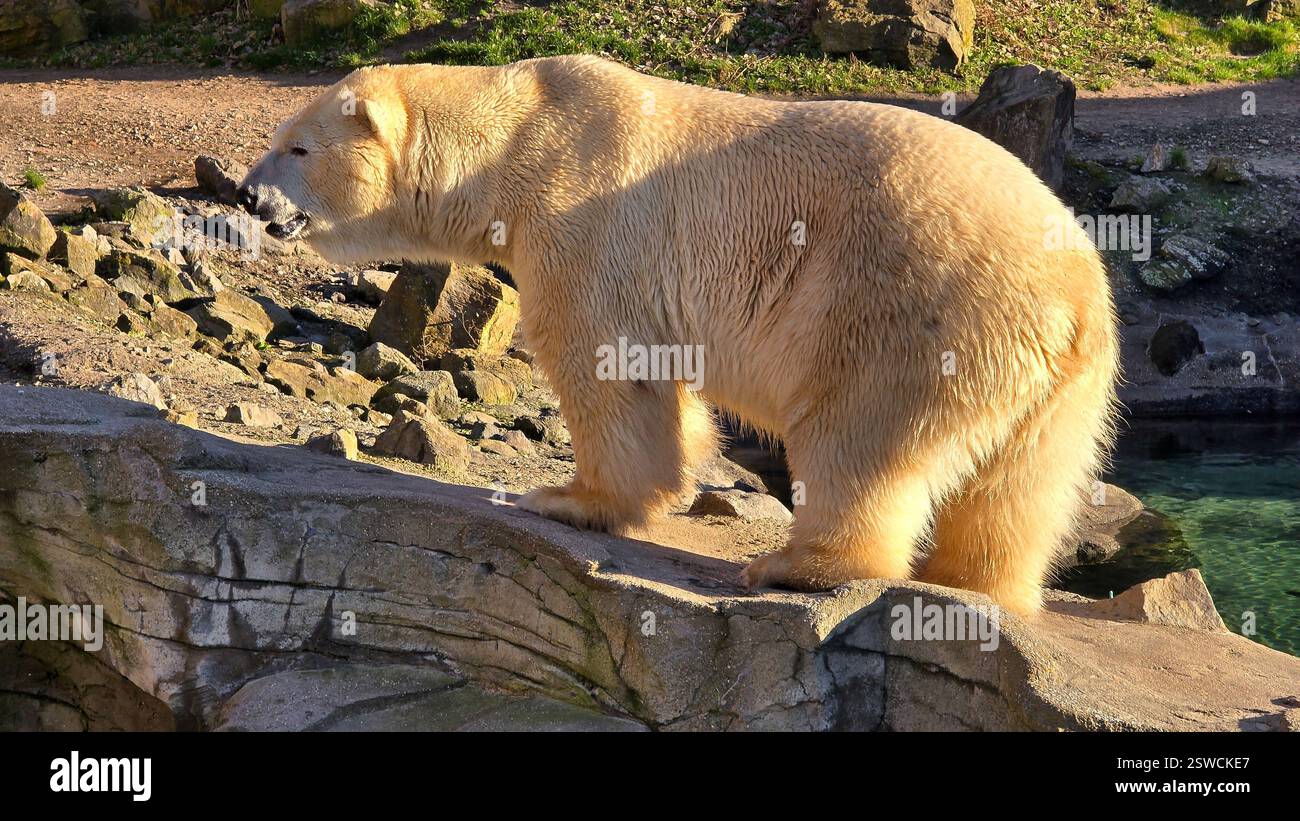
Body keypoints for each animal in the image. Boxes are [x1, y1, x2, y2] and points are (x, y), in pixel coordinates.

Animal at [238, 55, 1120, 616]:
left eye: (296, 146)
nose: (247, 196)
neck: (514, 139)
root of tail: (1071, 296)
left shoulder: (580, 214)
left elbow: (605, 360)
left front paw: (570, 498)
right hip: (1067, 382)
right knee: (1022, 487)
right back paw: (976, 582)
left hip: (905, 304)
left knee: (859, 436)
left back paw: (796, 564)